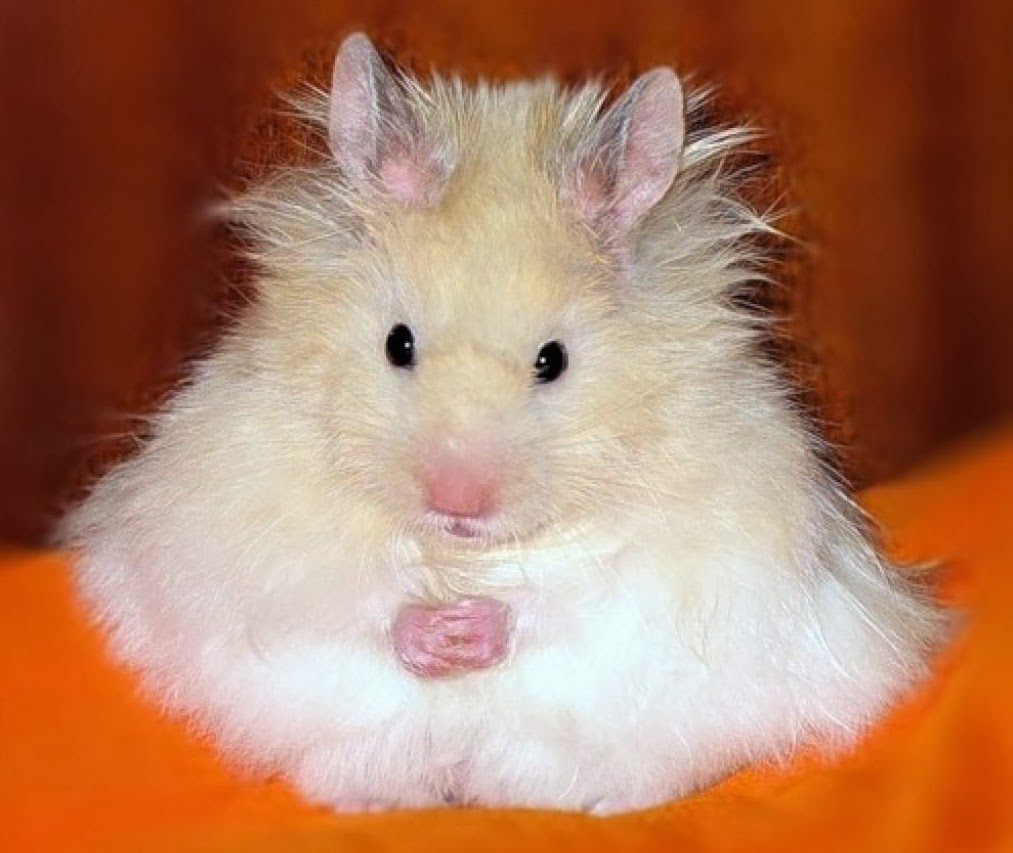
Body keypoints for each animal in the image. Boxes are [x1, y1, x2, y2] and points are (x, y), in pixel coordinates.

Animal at [62, 33, 946, 814]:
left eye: (552, 360)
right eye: (398, 343)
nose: (456, 503)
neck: (467, 555)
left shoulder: (702, 553)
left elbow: (575, 593)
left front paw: (474, 628)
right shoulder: (244, 522)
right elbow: (353, 591)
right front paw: (437, 633)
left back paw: (590, 800)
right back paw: (383, 797)